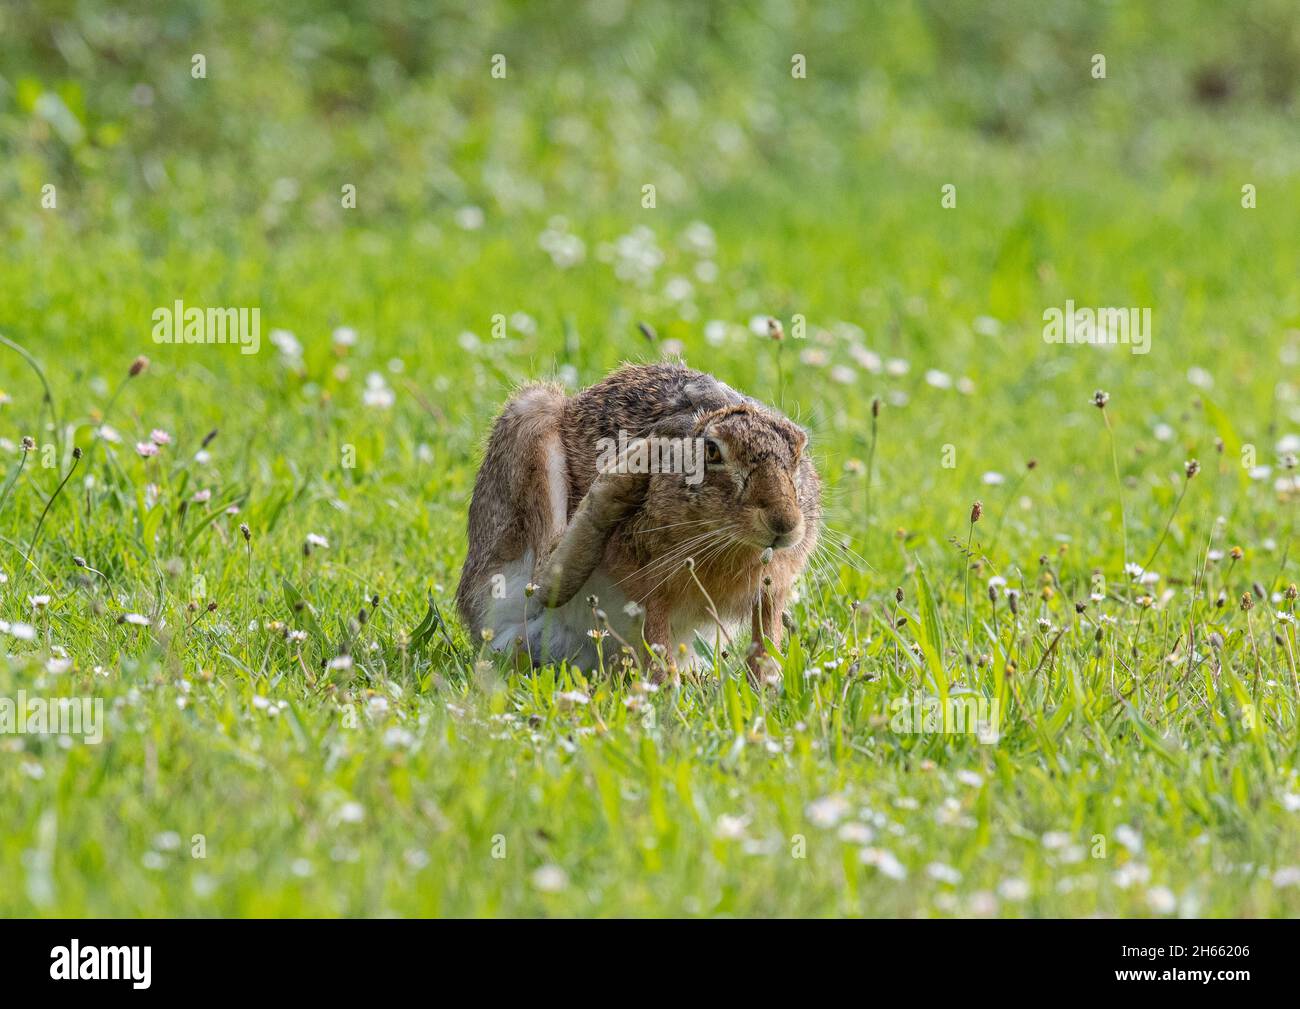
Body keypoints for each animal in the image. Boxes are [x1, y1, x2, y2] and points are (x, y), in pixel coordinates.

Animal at [456, 361, 820, 682]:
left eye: (799, 451)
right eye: (713, 451)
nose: (783, 523)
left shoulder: (771, 591)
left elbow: (766, 645)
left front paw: (763, 695)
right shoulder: (650, 583)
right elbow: (656, 643)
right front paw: (666, 693)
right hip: (528, 422)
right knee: (544, 580)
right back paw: (632, 464)